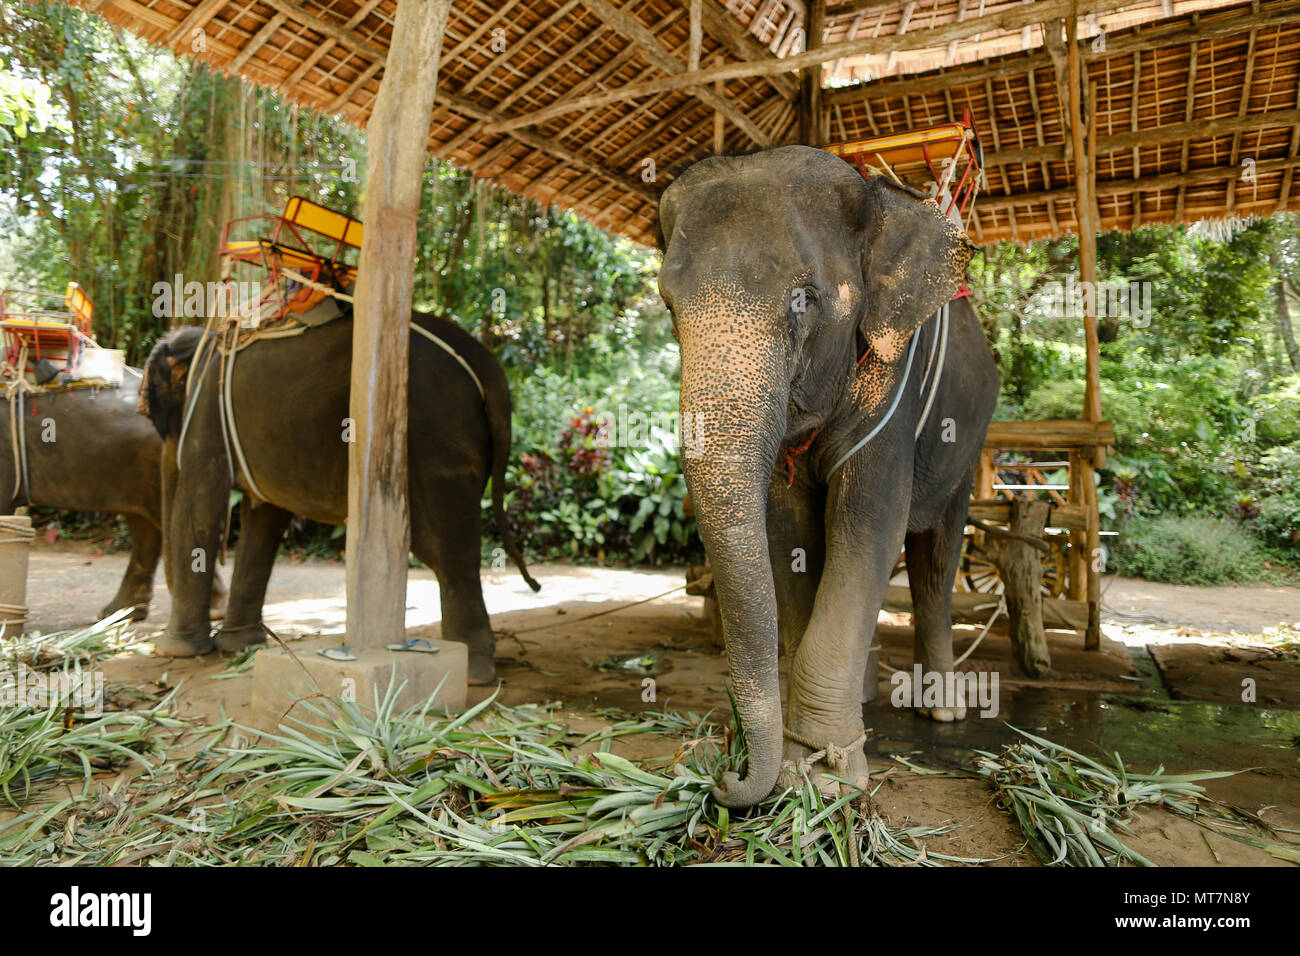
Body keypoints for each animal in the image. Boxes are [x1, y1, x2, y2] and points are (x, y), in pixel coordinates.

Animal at [137, 312, 539, 683]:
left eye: (156, 414)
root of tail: (487, 367)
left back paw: (471, 671)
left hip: (436, 438)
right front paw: (239, 646)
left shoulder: (206, 411)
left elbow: (199, 512)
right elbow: (264, 520)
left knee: (448, 552)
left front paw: (174, 651)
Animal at [657, 146, 998, 808]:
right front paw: (804, 766)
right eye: (667, 305)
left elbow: (869, 526)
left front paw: (829, 779)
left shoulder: (894, 384)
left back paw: (942, 709)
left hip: (968, 449)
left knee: (935, 559)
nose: (725, 776)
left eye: (805, 299)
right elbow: (790, 538)